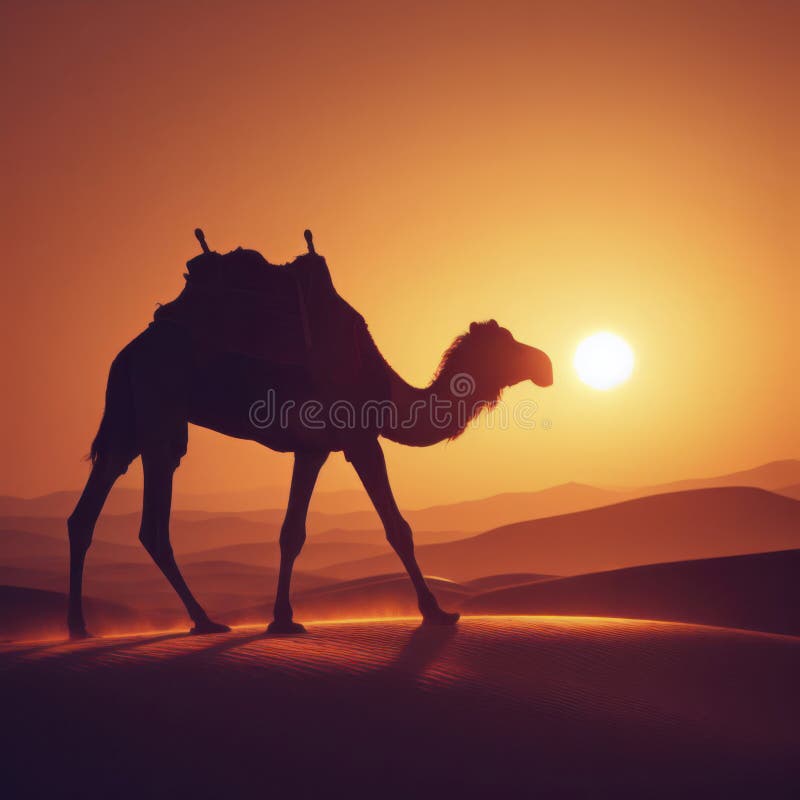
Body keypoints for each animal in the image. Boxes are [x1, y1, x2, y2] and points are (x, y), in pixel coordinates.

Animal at [67, 238, 553, 638]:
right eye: (508, 344)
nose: (546, 364)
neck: (387, 390)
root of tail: (127, 352)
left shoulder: (313, 448)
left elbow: (292, 532)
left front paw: (283, 619)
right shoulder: (360, 438)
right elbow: (398, 528)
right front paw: (437, 612)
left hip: (128, 421)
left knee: (87, 510)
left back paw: (79, 626)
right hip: (160, 412)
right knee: (153, 522)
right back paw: (203, 620)